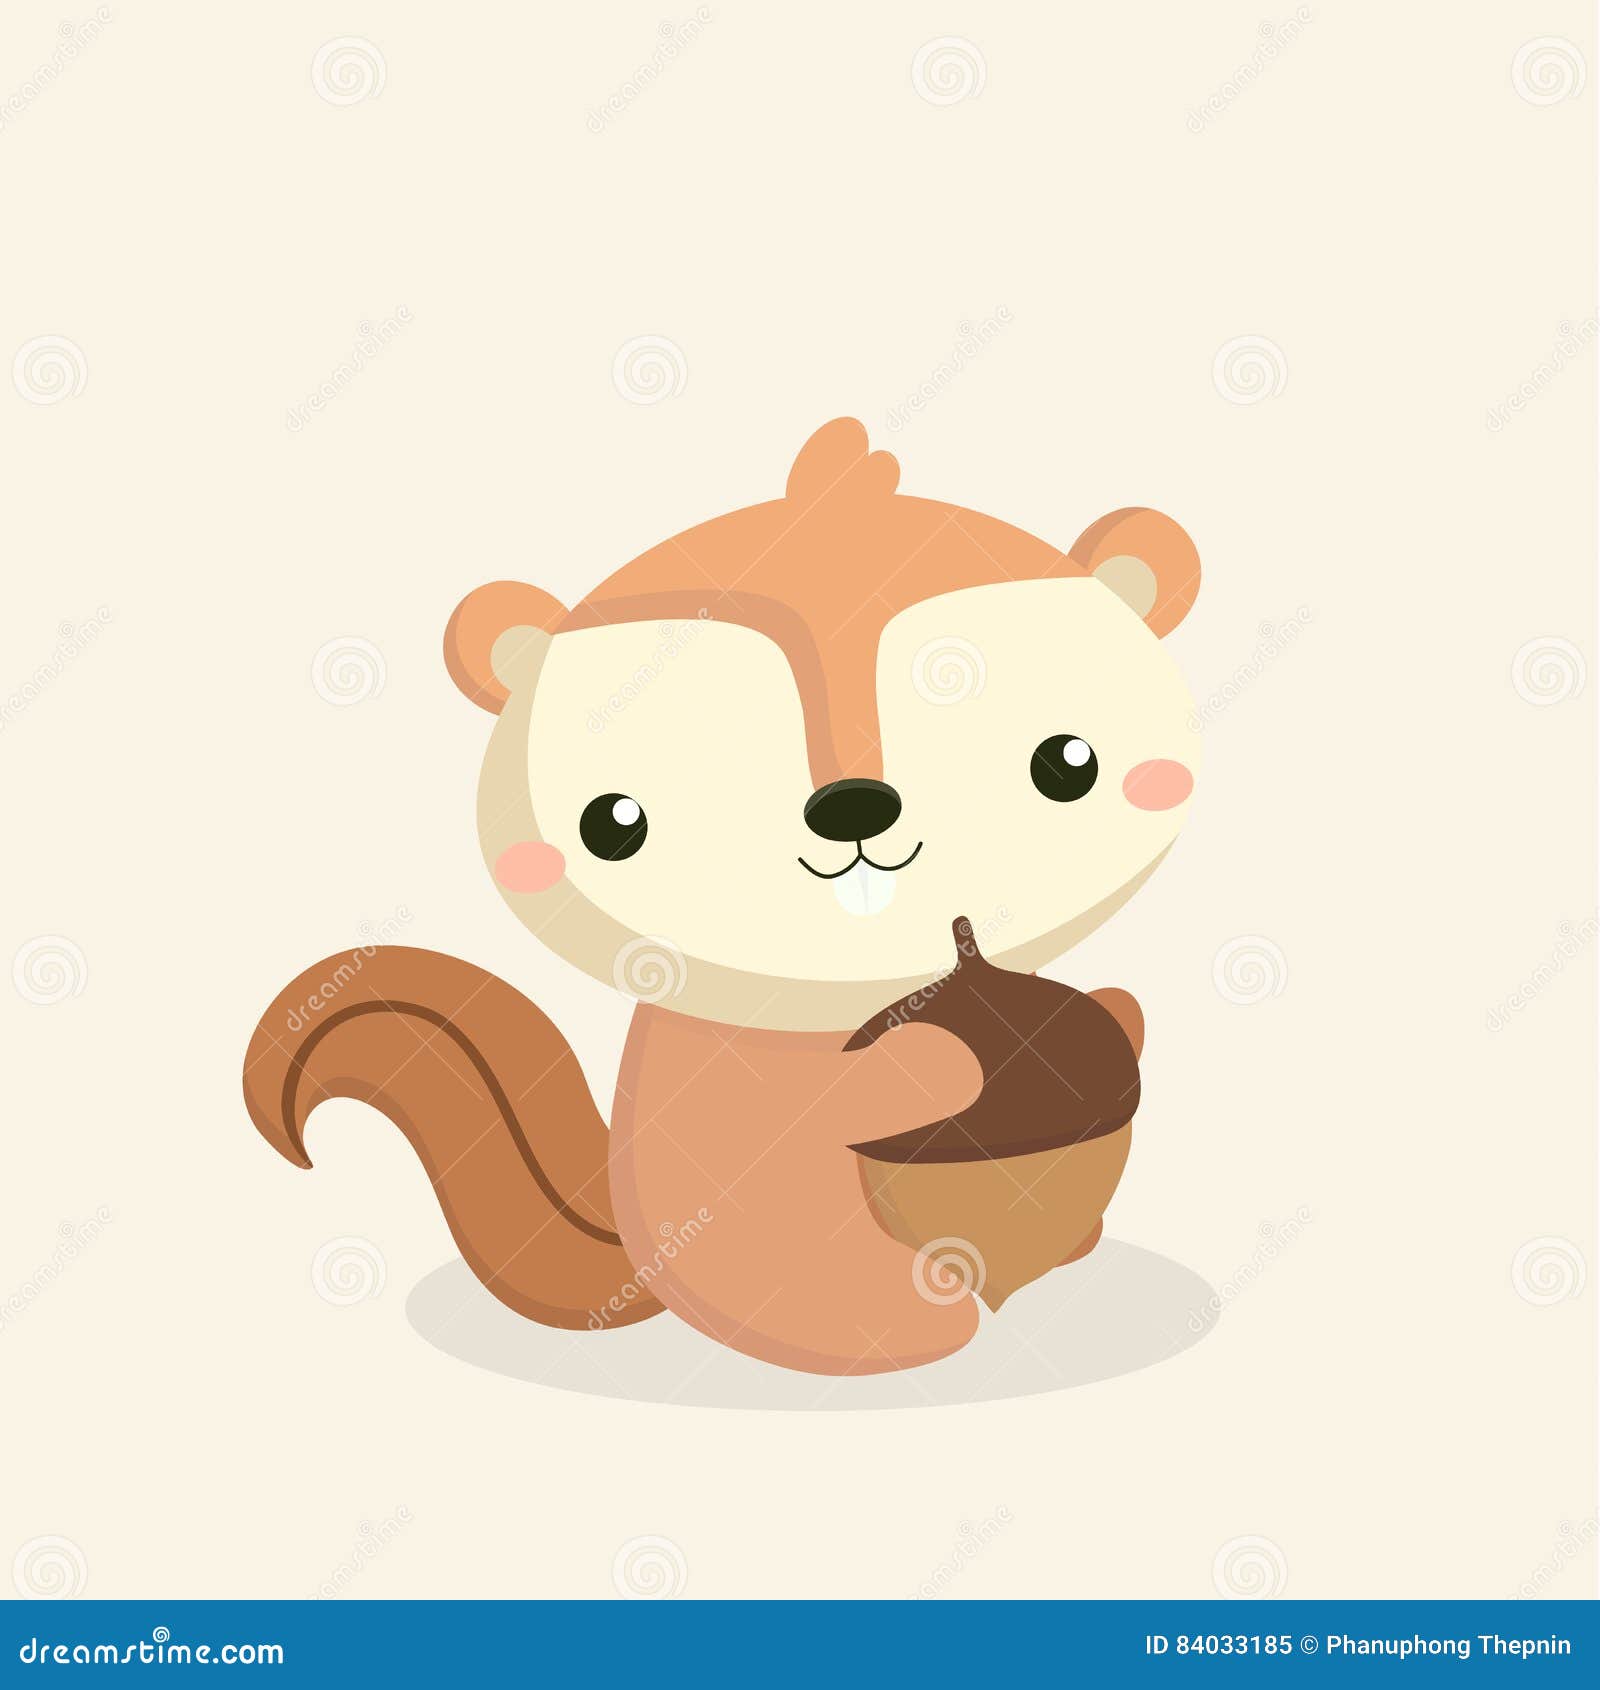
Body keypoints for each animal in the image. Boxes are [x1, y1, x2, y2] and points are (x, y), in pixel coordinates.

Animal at [242, 418, 1201, 1375]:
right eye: (613, 823)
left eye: (1069, 762)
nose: (853, 803)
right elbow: (831, 1104)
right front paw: (931, 1063)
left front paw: (1117, 1010)